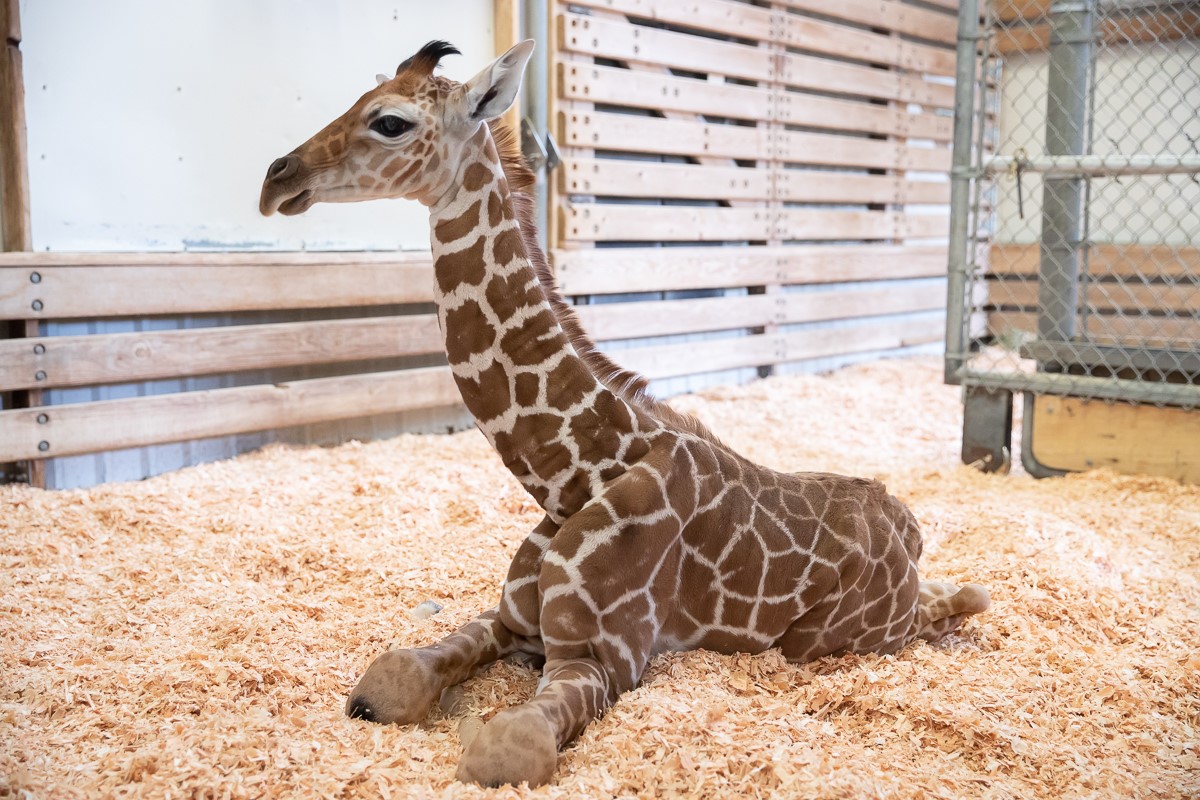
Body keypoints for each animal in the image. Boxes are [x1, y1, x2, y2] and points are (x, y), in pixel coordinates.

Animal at [259, 40, 991, 788]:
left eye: (390, 122)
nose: (276, 179)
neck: (576, 475)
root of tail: (906, 523)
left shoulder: (601, 657)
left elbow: (505, 748)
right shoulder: (511, 621)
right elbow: (391, 677)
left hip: (834, 637)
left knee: (959, 604)